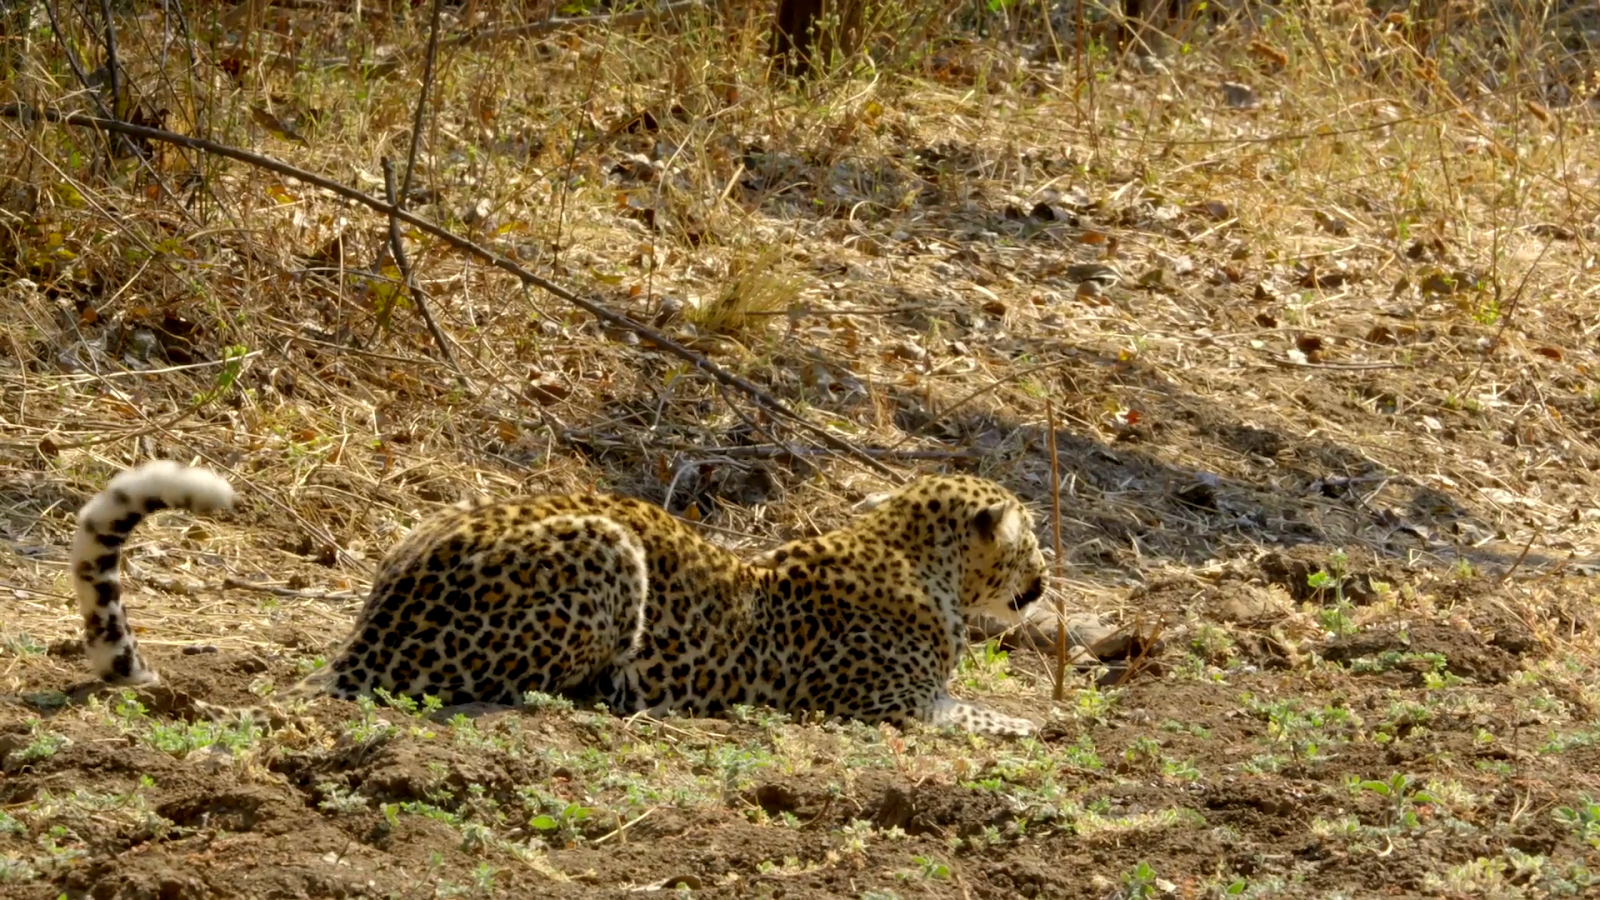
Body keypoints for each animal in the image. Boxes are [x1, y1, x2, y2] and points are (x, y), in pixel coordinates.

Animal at [71, 461, 1049, 736]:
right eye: (1035, 537)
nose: (1044, 585)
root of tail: (367, 639)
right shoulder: (887, 705)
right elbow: (978, 715)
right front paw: (1038, 725)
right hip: (609, 548)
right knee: (528, 684)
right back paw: (608, 699)